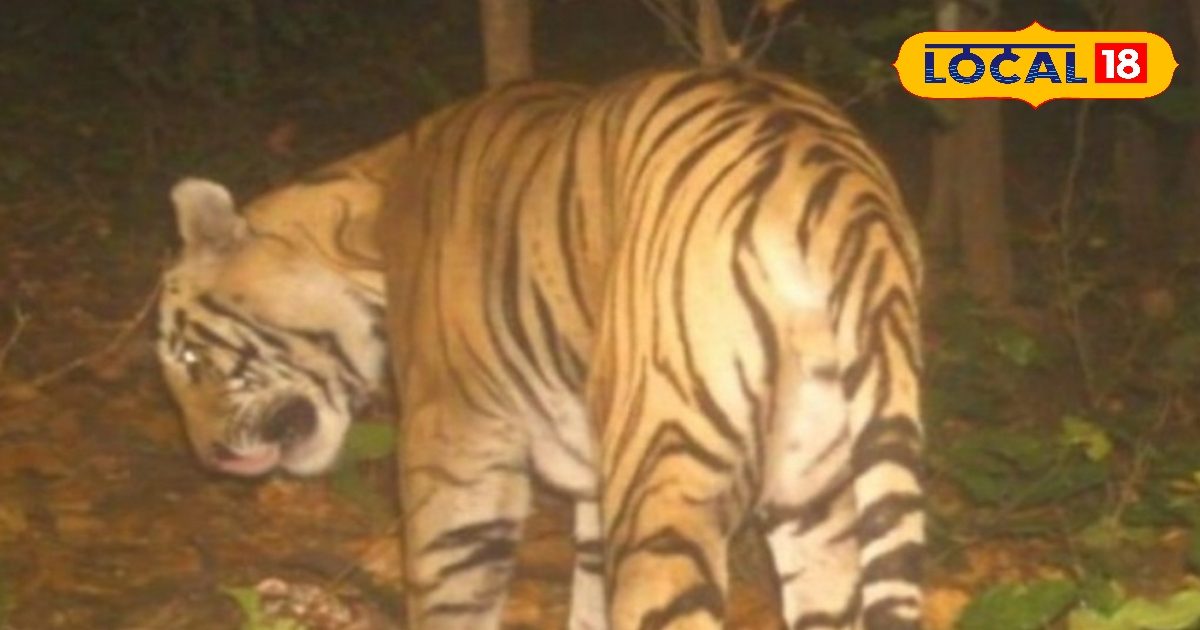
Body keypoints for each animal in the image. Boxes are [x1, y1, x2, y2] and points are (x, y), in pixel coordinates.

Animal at [158, 67, 924, 630]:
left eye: (190, 362)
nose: (210, 457)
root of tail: (828, 175)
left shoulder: (455, 440)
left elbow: (448, 589)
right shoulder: (589, 474)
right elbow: (587, 595)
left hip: (667, 468)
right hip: (816, 484)